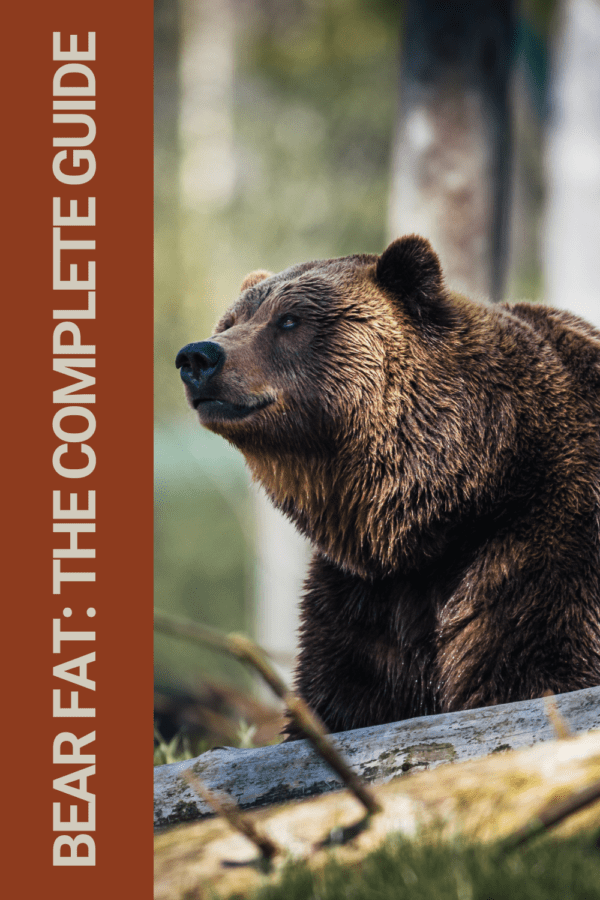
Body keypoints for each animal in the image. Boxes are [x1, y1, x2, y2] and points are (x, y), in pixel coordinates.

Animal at [176, 235, 600, 738]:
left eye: (290, 319)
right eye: (231, 320)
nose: (198, 356)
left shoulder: (546, 543)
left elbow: (536, 668)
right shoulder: (368, 596)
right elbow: (344, 694)